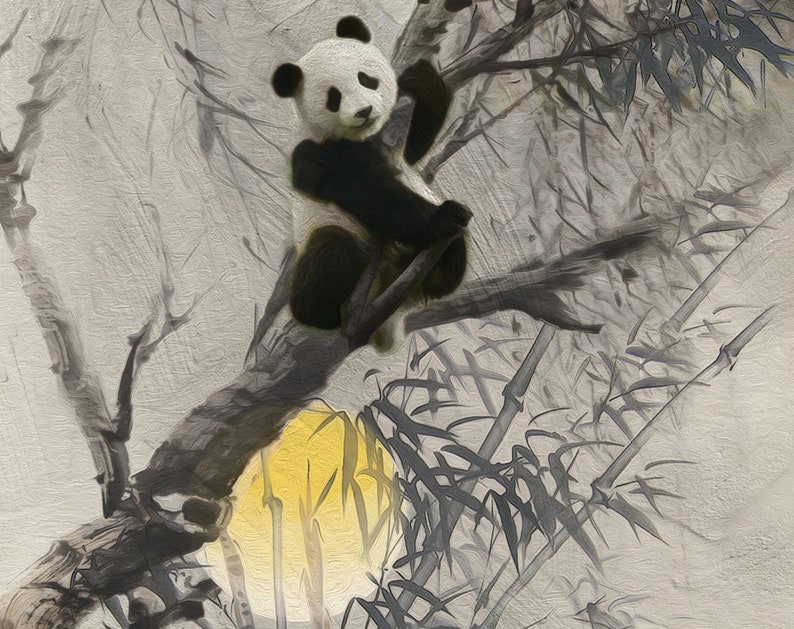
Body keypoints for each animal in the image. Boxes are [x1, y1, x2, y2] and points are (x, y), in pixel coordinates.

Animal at [271, 15, 471, 350]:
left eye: (366, 79)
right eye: (333, 97)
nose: (364, 112)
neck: (364, 136)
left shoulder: (392, 137)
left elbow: (414, 150)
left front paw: (423, 82)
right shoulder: (320, 154)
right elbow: (372, 194)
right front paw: (444, 216)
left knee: (458, 250)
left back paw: (440, 277)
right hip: (333, 236)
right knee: (335, 249)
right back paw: (317, 314)